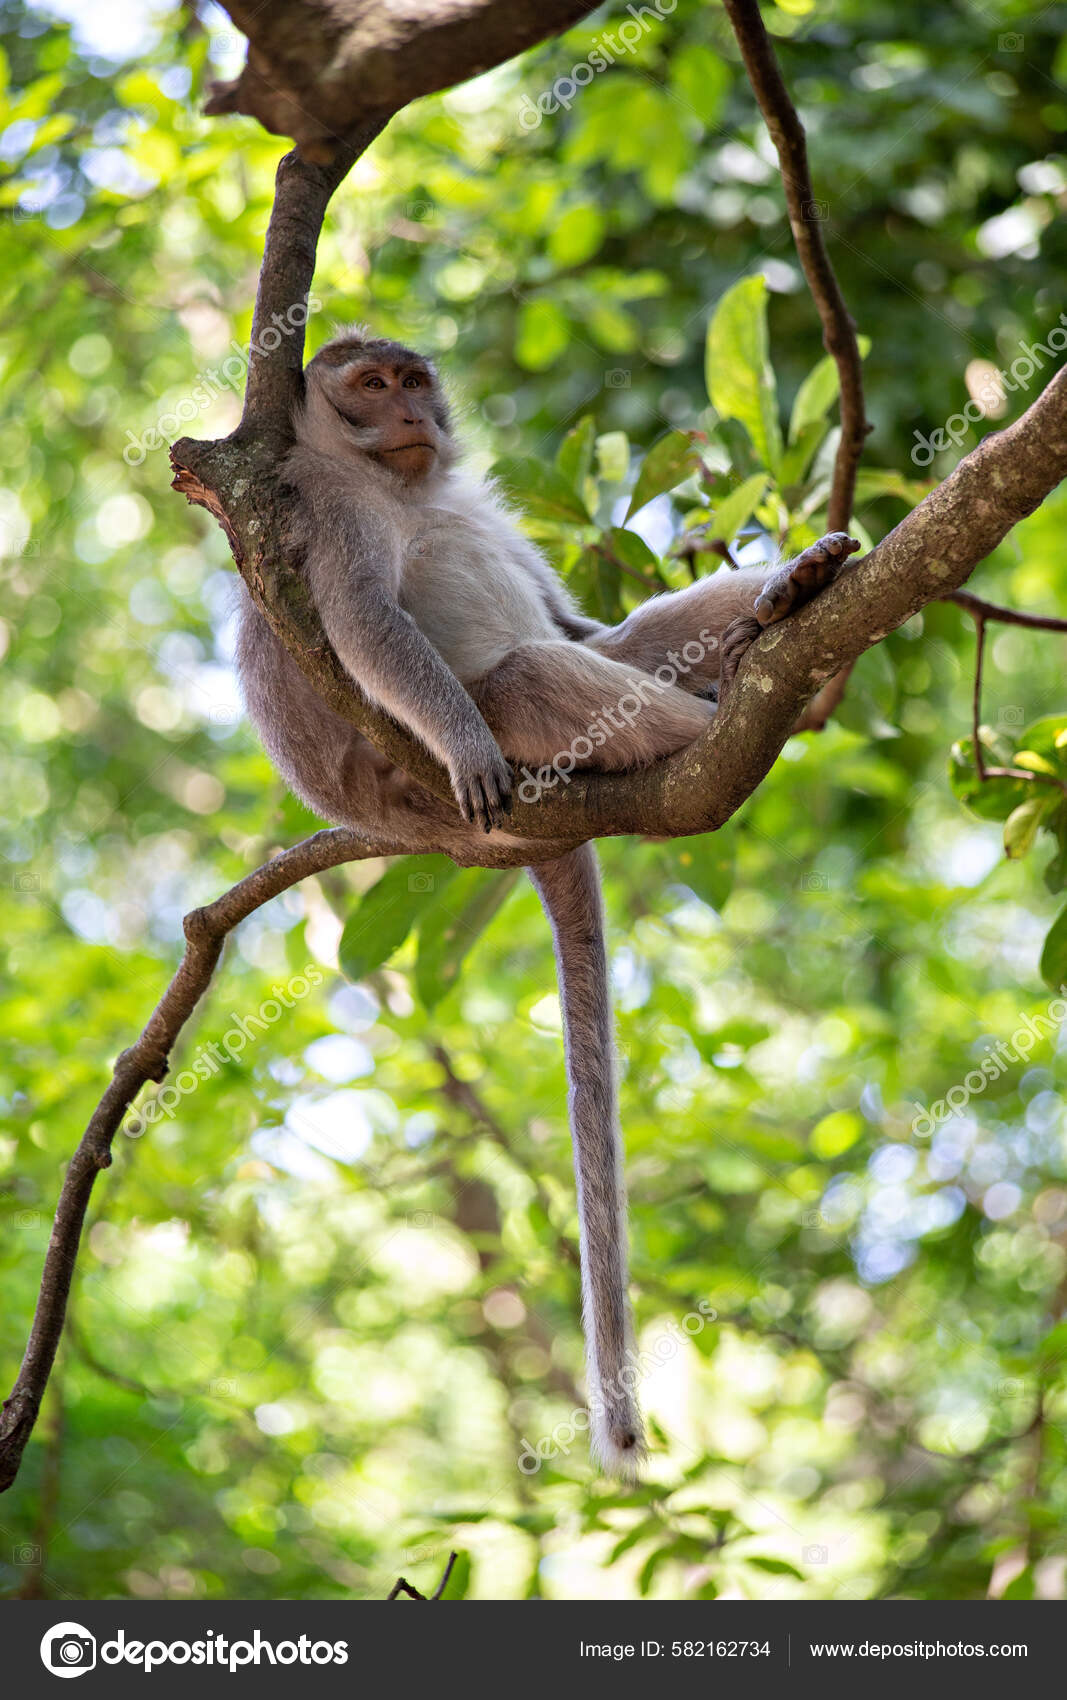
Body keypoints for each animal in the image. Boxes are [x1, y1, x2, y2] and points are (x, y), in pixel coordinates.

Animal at [235, 327, 859, 1474]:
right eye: (367, 385)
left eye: (411, 381)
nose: (409, 414)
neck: (401, 482)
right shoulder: (323, 510)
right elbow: (367, 622)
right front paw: (462, 737)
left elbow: (581, 617)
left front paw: (773, 586)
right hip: (496, 765)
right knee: (525, 674)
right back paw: (718, 718)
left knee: (603, 644)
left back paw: (781, 603)